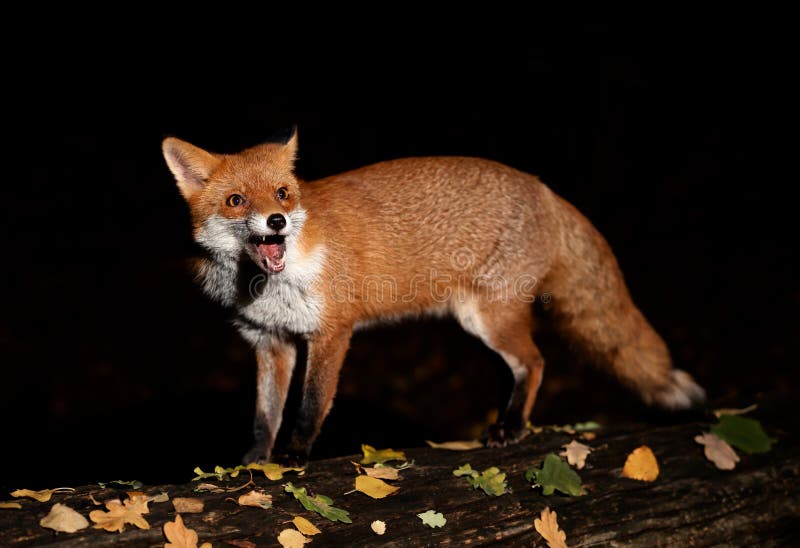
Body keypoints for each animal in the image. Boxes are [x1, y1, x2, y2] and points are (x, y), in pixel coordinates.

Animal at [162, 130, 705, 466]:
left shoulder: (332, 331)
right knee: (516, 369)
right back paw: (503, 420)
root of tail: (544, 188)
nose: (276, 222)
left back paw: (511, 427)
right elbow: (264, 414)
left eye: (282, 194)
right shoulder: (269, 340)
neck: (268, 283)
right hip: (483, 326)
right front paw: (255, 462)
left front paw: (296, 455)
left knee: (536, 362)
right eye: (236, 201)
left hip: (488, 317)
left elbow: (310, 404)